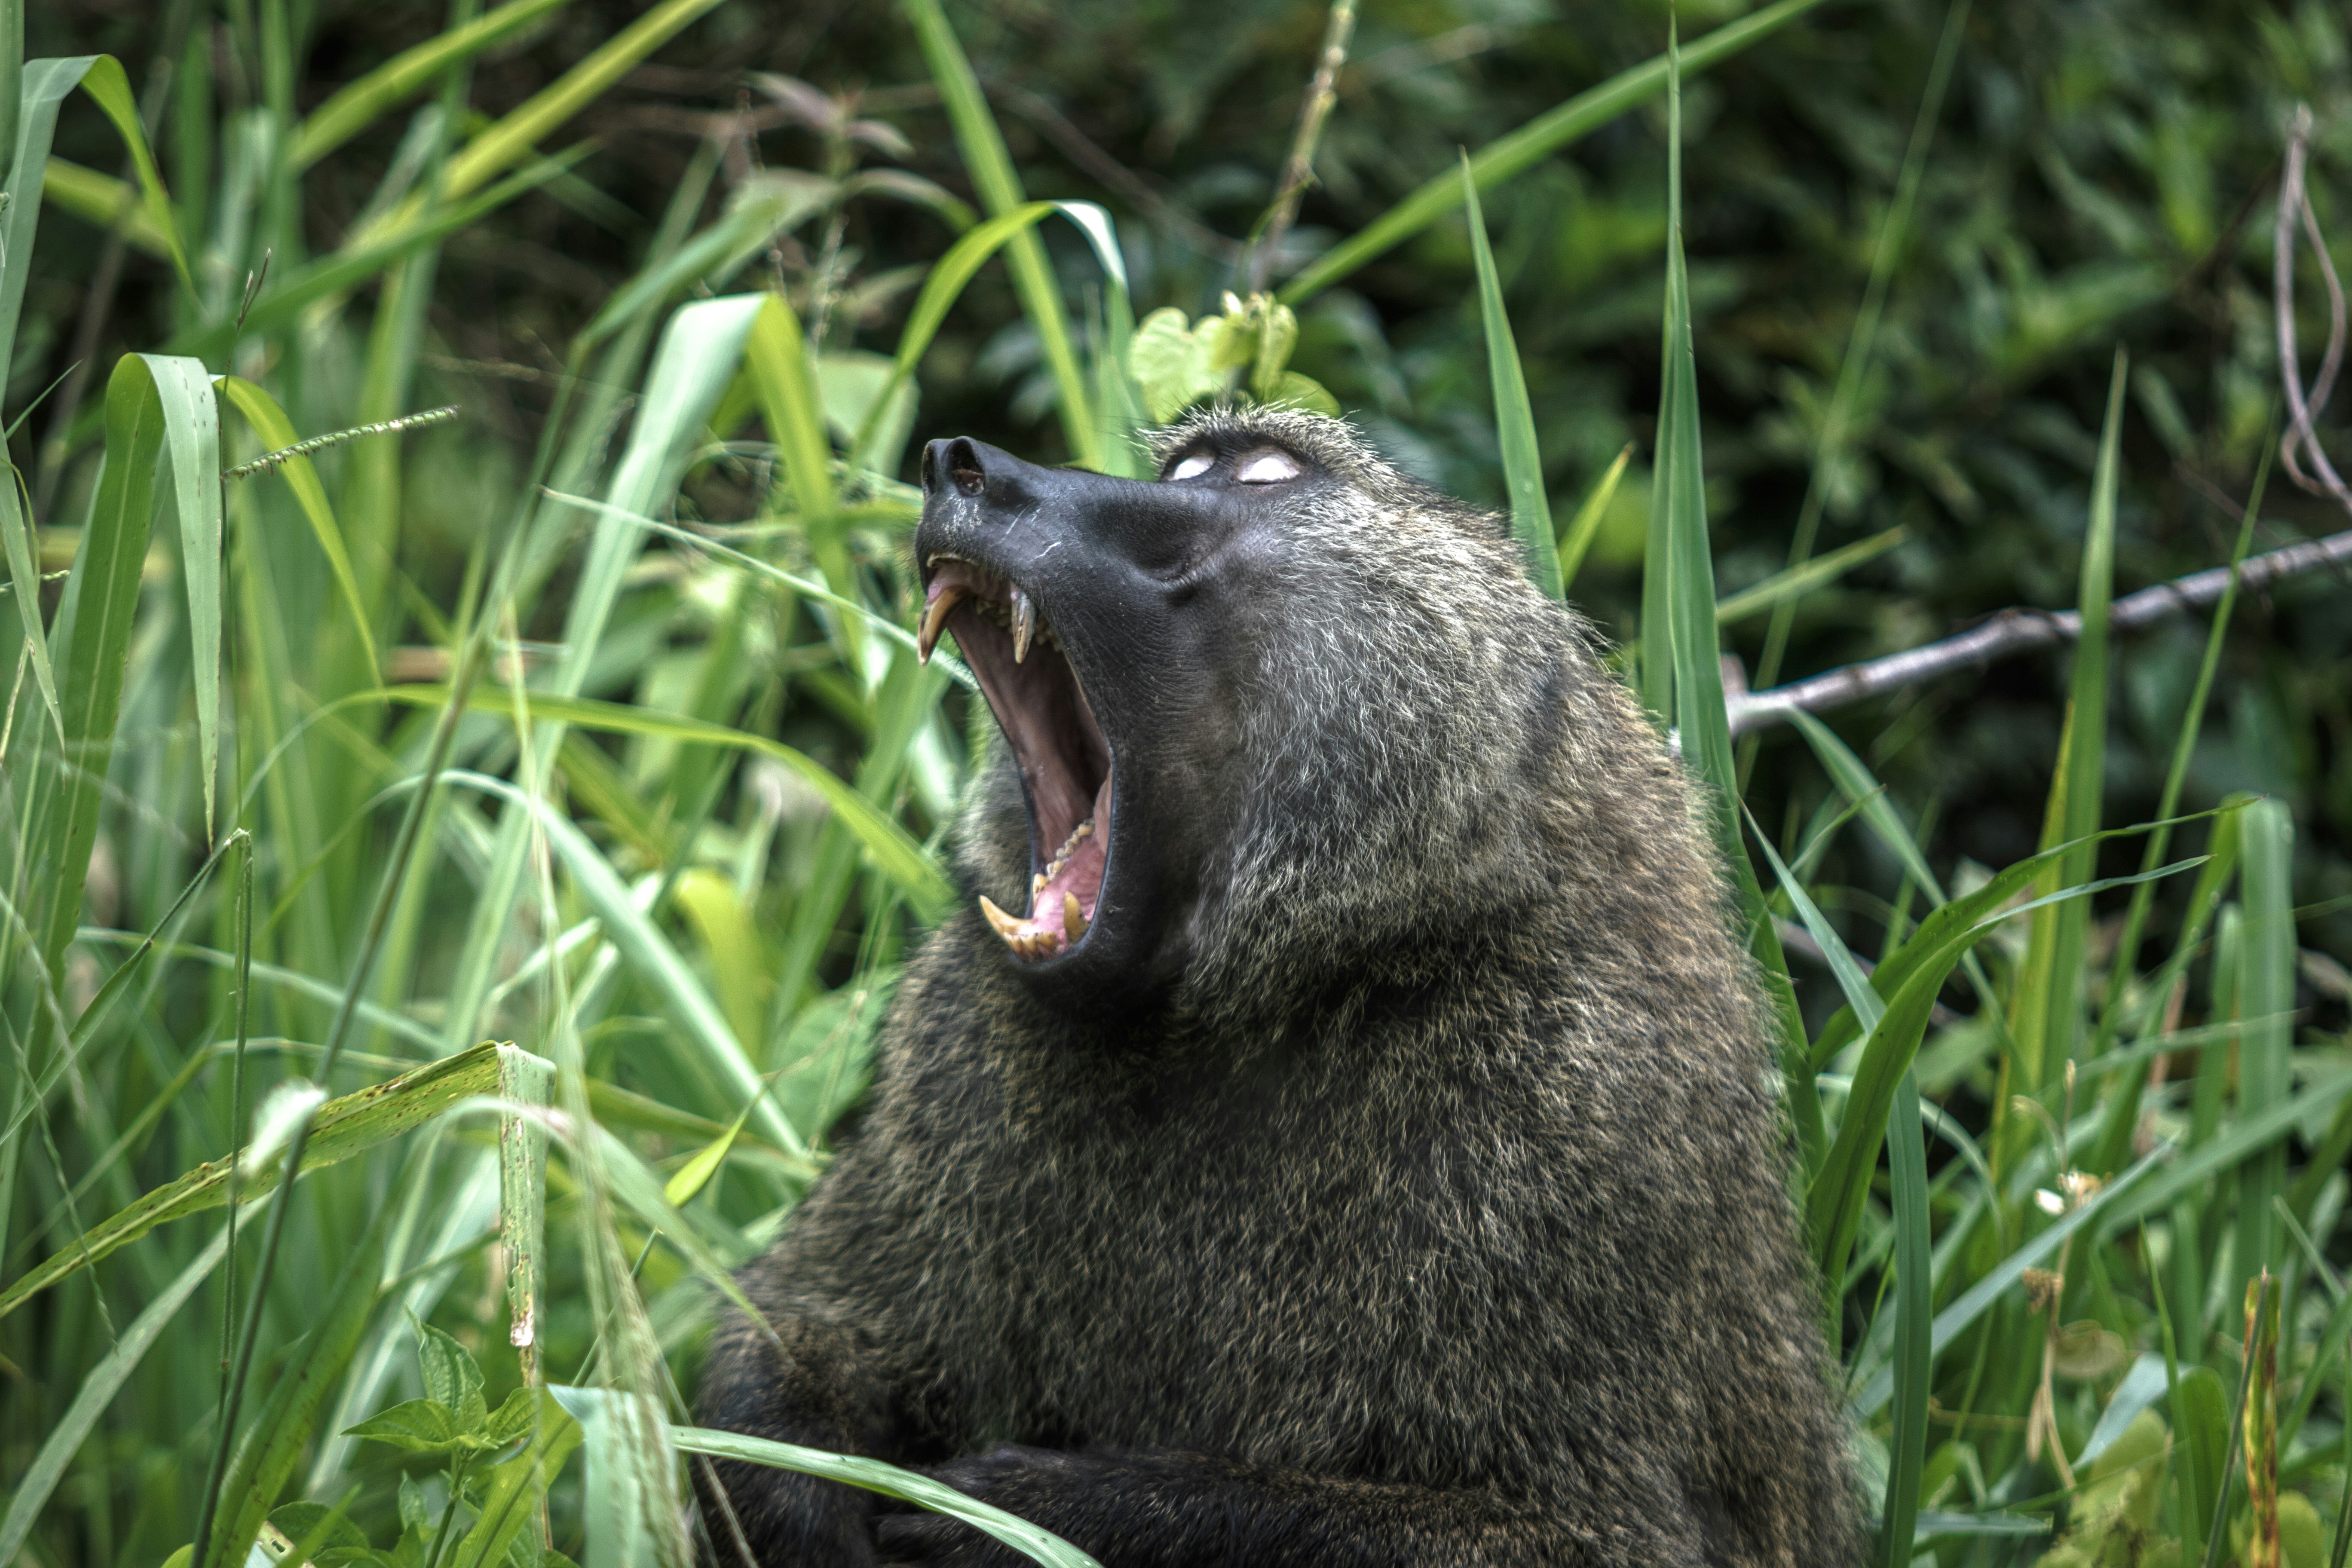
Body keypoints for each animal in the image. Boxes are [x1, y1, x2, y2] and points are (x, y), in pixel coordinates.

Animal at [692, 407, 1861, 1568]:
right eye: (1184, 468)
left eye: (1260, 476)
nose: (953, 463)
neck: (1283, 993)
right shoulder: (952, 1050)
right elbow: (794, 1325)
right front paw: (805, 1503)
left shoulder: (1583, 1110)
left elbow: (1594, 1535)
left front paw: (1024, 1521)